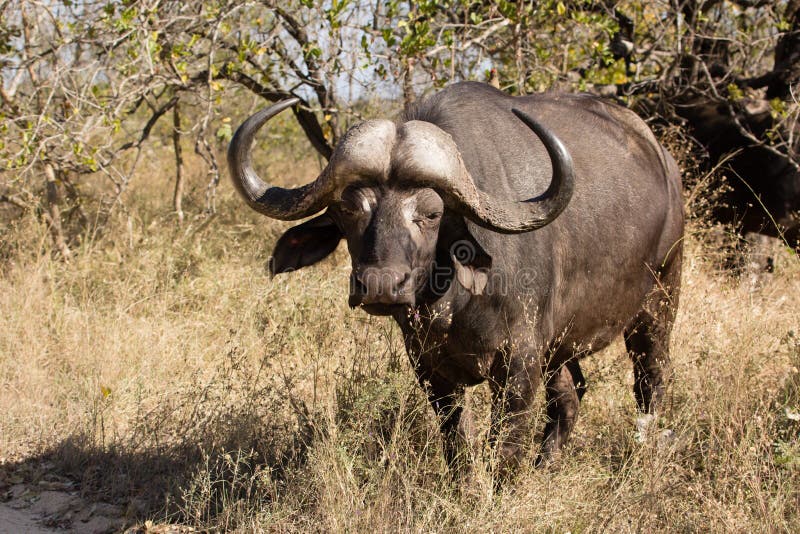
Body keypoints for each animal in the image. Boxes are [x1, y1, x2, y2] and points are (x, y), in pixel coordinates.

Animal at [228, 82, 684, 480]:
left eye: (431, 214)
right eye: (348, 211)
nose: (380, 285)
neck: (454, 304)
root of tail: (663, 159)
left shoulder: (518, 365)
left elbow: (505, 449)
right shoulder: (432, 370)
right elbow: (458, 444)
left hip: (659, 301)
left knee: (651, 382)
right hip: (560, 345)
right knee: (571, 397)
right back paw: (546, 466)